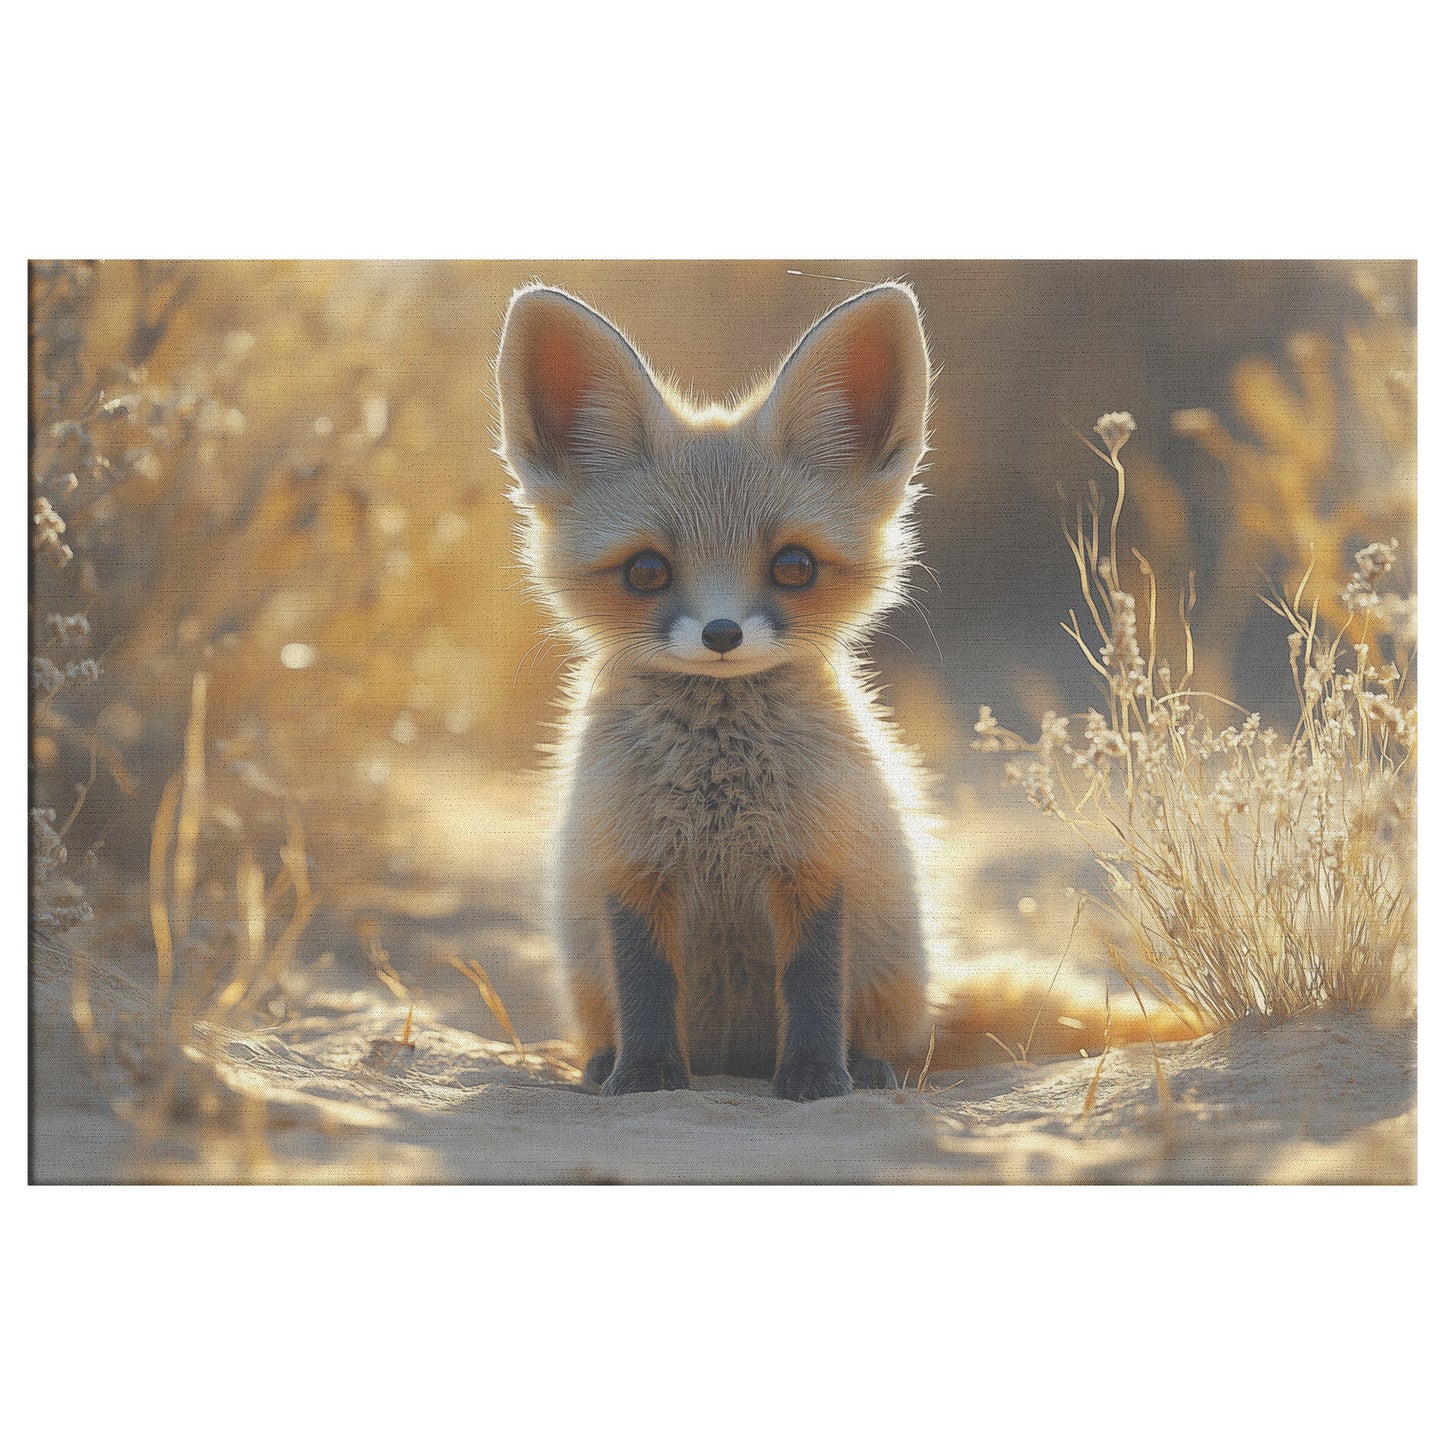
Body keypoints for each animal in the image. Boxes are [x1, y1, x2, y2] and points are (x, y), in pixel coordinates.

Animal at [494, 280, 936, 1100]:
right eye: (647, 570)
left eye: (793, 566)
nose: (722, 633)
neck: (718, 798)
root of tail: (734, 1055)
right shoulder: (628, 860)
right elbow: (643, 985)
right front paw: (643, 1075)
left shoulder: (815, 861)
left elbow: (813, 986)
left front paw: (815, 1079)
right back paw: (603, 1061)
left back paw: (867, 1064)